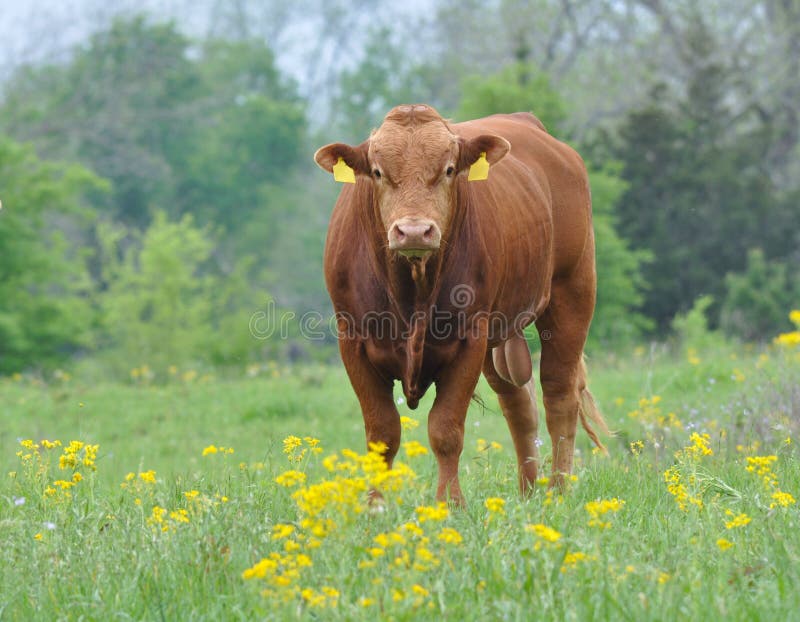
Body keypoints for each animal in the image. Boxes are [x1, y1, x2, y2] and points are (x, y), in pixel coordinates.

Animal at [314, 104, 607, 505]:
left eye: (449, 169)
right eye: (377, 172)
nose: (414, 231)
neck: (413, 291)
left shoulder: (469, 340)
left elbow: (446, 430)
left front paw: (449, 504)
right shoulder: (353, 340)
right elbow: (382, 433)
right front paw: (375, 506)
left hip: (572, 291)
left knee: (559, 396)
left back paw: (556, 492)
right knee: (519, 404)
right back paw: (527, 492)